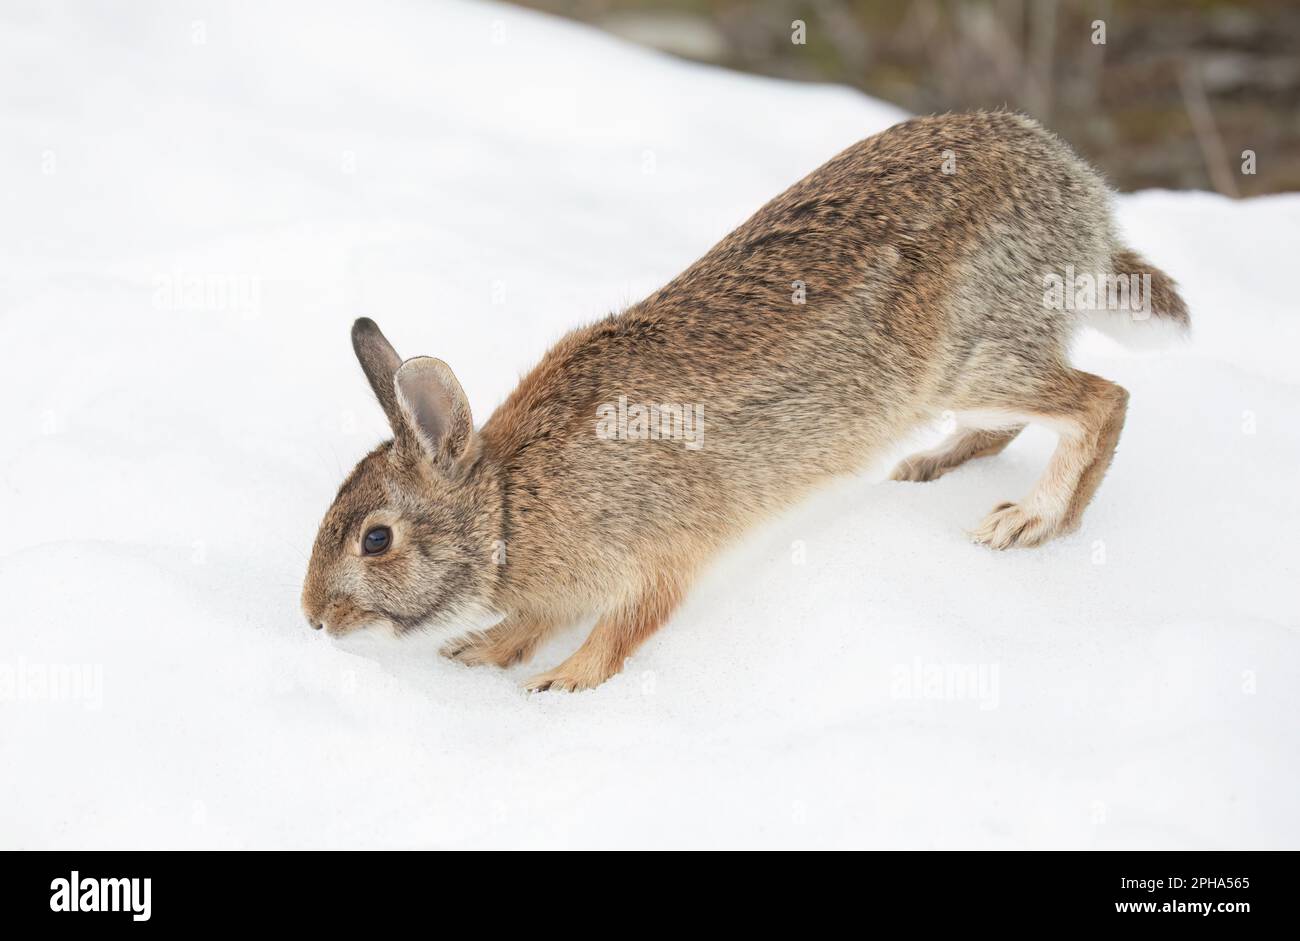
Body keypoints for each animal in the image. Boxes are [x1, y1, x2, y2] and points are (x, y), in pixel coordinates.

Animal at [301, 110, 1189, 692]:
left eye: (377, 539)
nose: (311, 618)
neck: (508, 508)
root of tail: (1087, 204)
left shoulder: (662, 551)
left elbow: (625, 628)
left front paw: (560, 684)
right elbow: (533, 619)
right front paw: (481, 652)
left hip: (974, 357)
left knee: (1103, 399)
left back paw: (1033, 521)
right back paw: (926, 468)